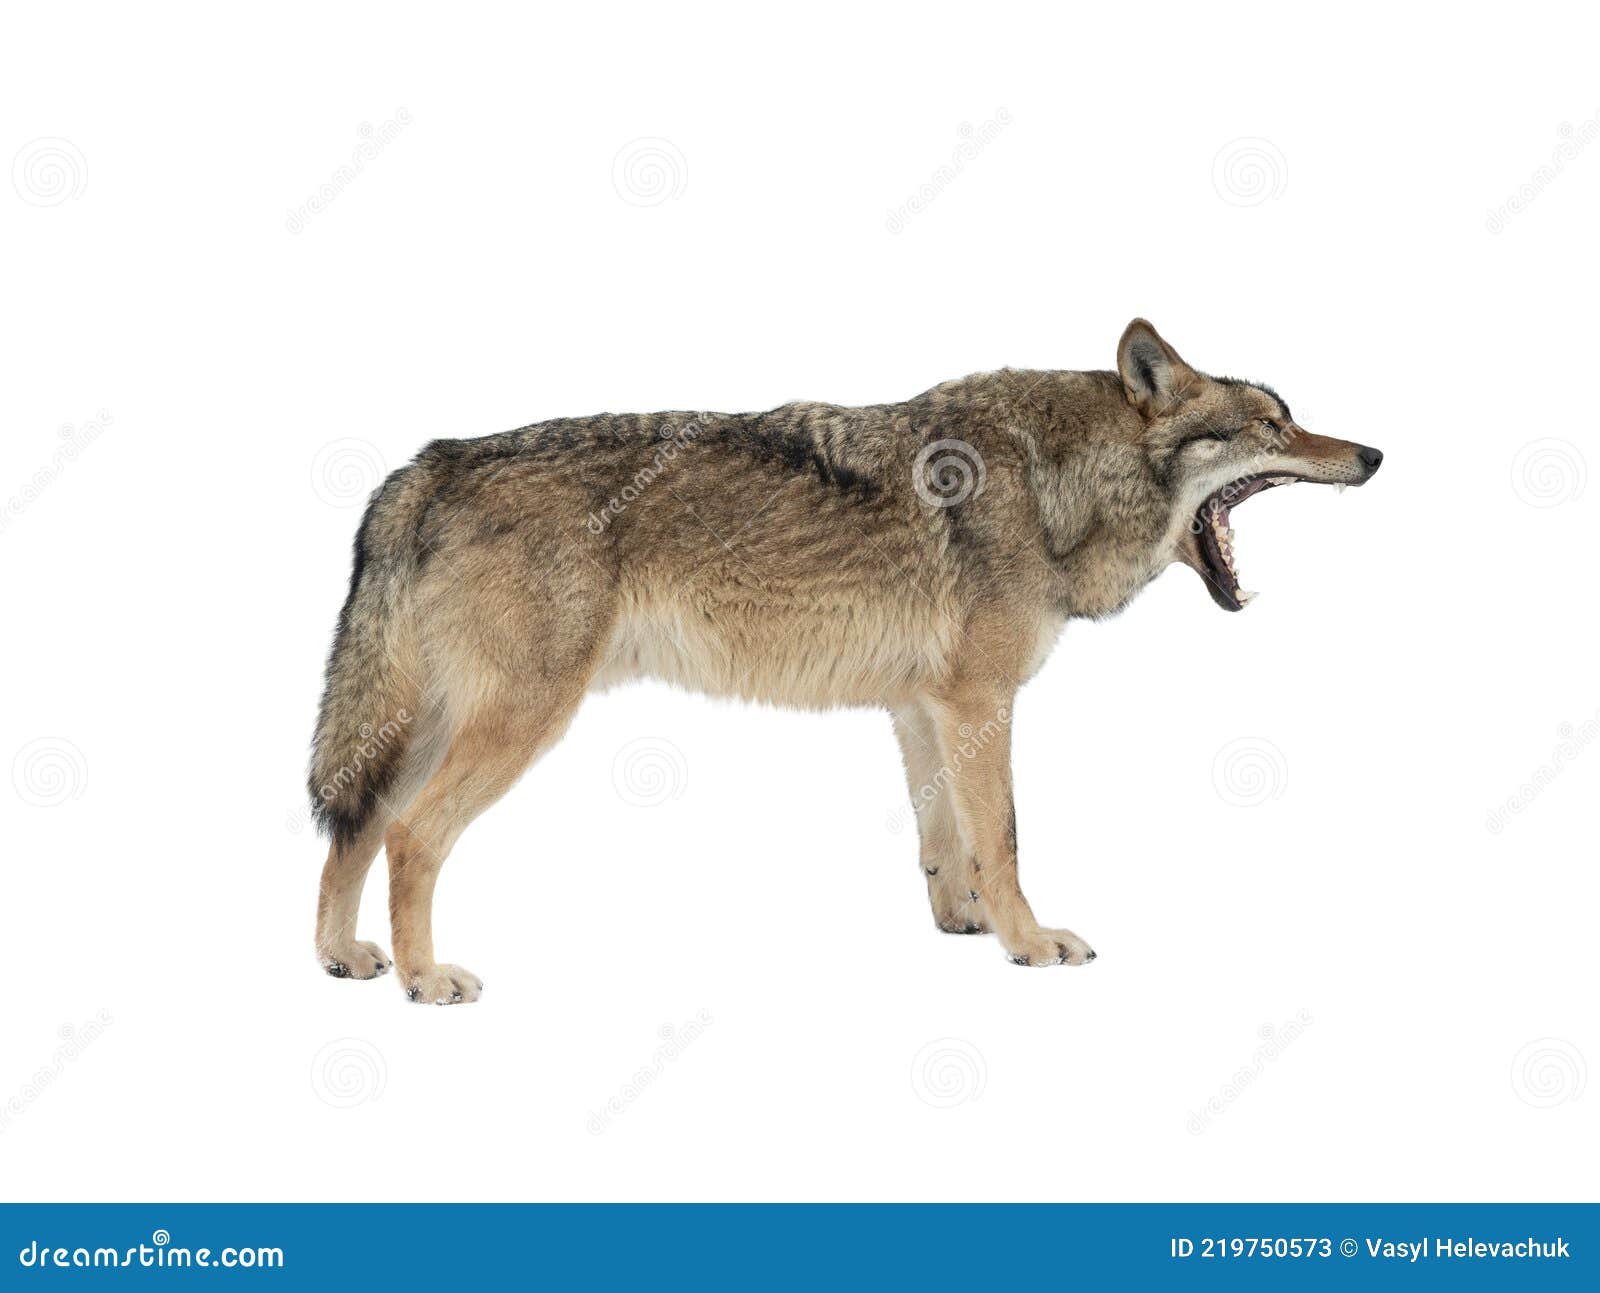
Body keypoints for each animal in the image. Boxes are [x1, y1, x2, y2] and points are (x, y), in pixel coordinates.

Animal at [309, 320, 1382, 1002]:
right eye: (1273, 425)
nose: (1372, 454)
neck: (1055, 485)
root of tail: (430, 462)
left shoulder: (924, 708)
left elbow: (948, 842)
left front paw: (968, 925)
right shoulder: (982, 700)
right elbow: (1007, 838)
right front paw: (1030, 943)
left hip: (427, 725)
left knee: (353, 830)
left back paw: (343, 958)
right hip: (517, 721)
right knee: (408, 835)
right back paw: (424, 978)